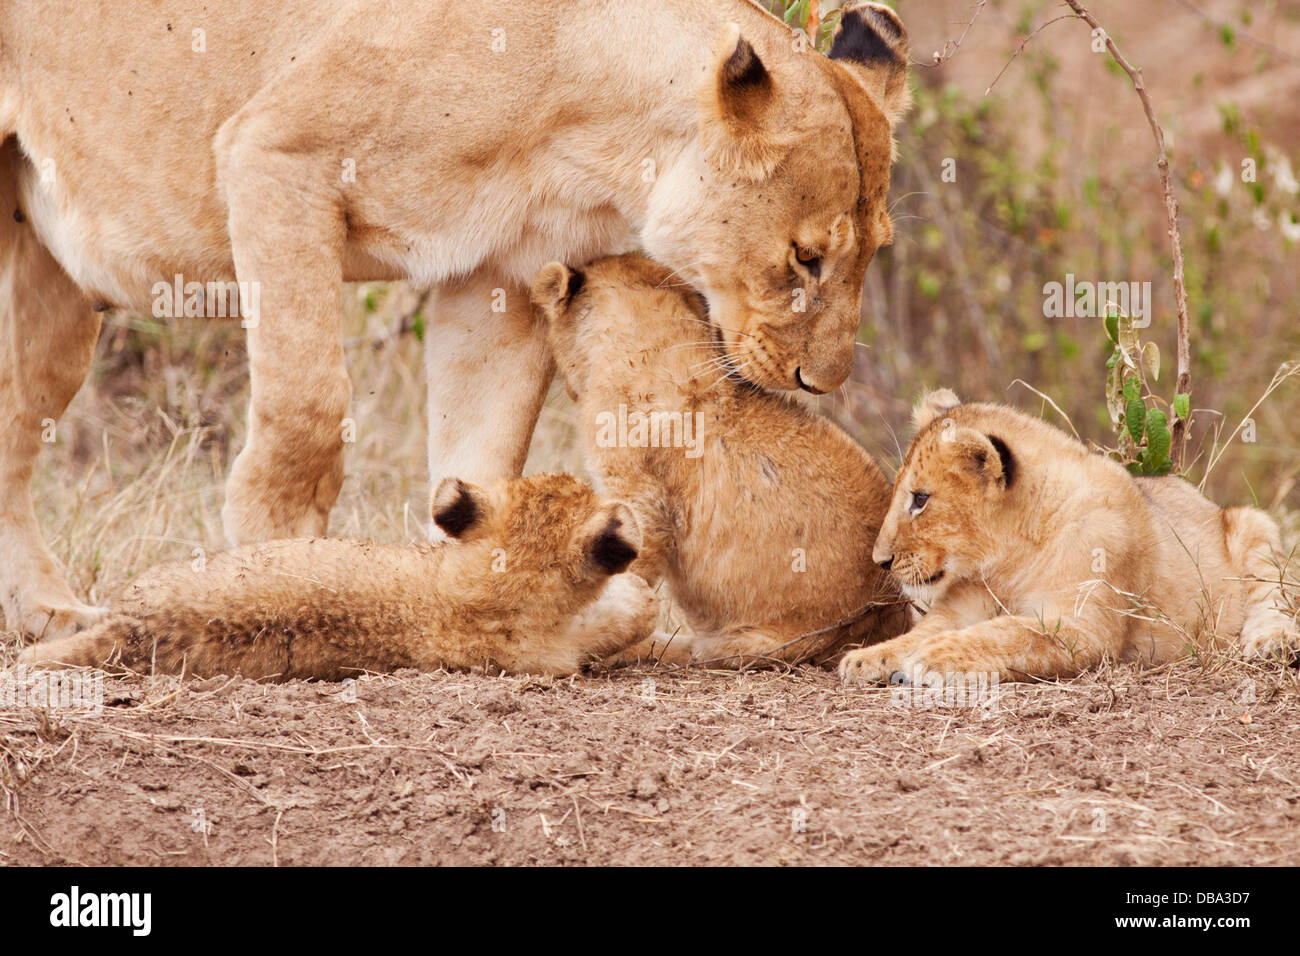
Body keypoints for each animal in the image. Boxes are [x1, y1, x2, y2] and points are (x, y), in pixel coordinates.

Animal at [839, 389, 1299, 685]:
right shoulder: (959, 609)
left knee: (1275, 600)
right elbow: (920, 633)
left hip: (1254, 526)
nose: (880, 560)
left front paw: (935, 658)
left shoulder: (1085, 630)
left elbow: (1008, 633)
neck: (1008, 560)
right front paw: (865, 659)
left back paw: (1271, 643)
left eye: (920, 499)